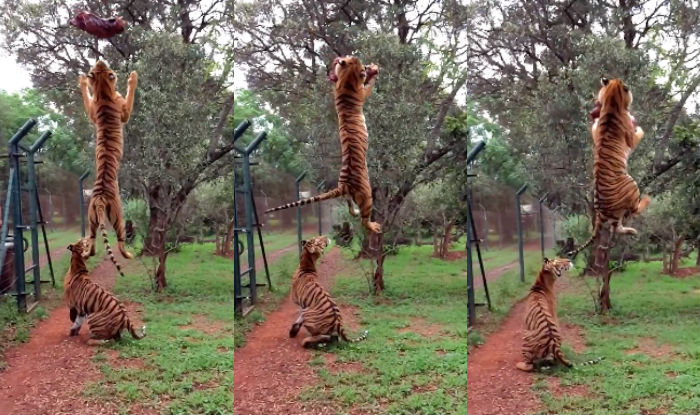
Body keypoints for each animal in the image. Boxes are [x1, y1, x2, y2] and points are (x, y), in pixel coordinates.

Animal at [79, 60, 137, 270]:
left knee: (92, 241)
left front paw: (81, 81)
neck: (103, 91)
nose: (100, 60)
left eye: (98, 67)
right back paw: (130, 255)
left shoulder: (91, 112)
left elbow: (86, 98)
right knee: (120, 242)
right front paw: (133, 77)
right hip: (119, 216)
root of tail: (100, 199)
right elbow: (130, 95)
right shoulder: (125, 111)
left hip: (91, 219)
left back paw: (86, 253)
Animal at [265, 56, 381, 234]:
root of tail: (343, 184)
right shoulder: (363, 92)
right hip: (367, 195)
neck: (346, 80)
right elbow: (369, 85)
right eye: (362, 65)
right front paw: (373, 71)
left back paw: (354, 212)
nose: (368, 65)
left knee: (349, 206)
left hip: (349, 196)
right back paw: (373, 226)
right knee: (364, 220)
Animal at [567, 77, 650, 259]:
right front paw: (639, 126)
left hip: (616, 214)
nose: (592, 112)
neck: (612, 103)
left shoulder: (595, 133)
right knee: (635, 210)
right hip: (631, 184)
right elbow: (638, 133)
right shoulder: (631, 139)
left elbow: (594, 129)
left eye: (597, 102)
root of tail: (599, 210)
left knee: (617, 228)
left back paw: (632, 231)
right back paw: (647, 199)